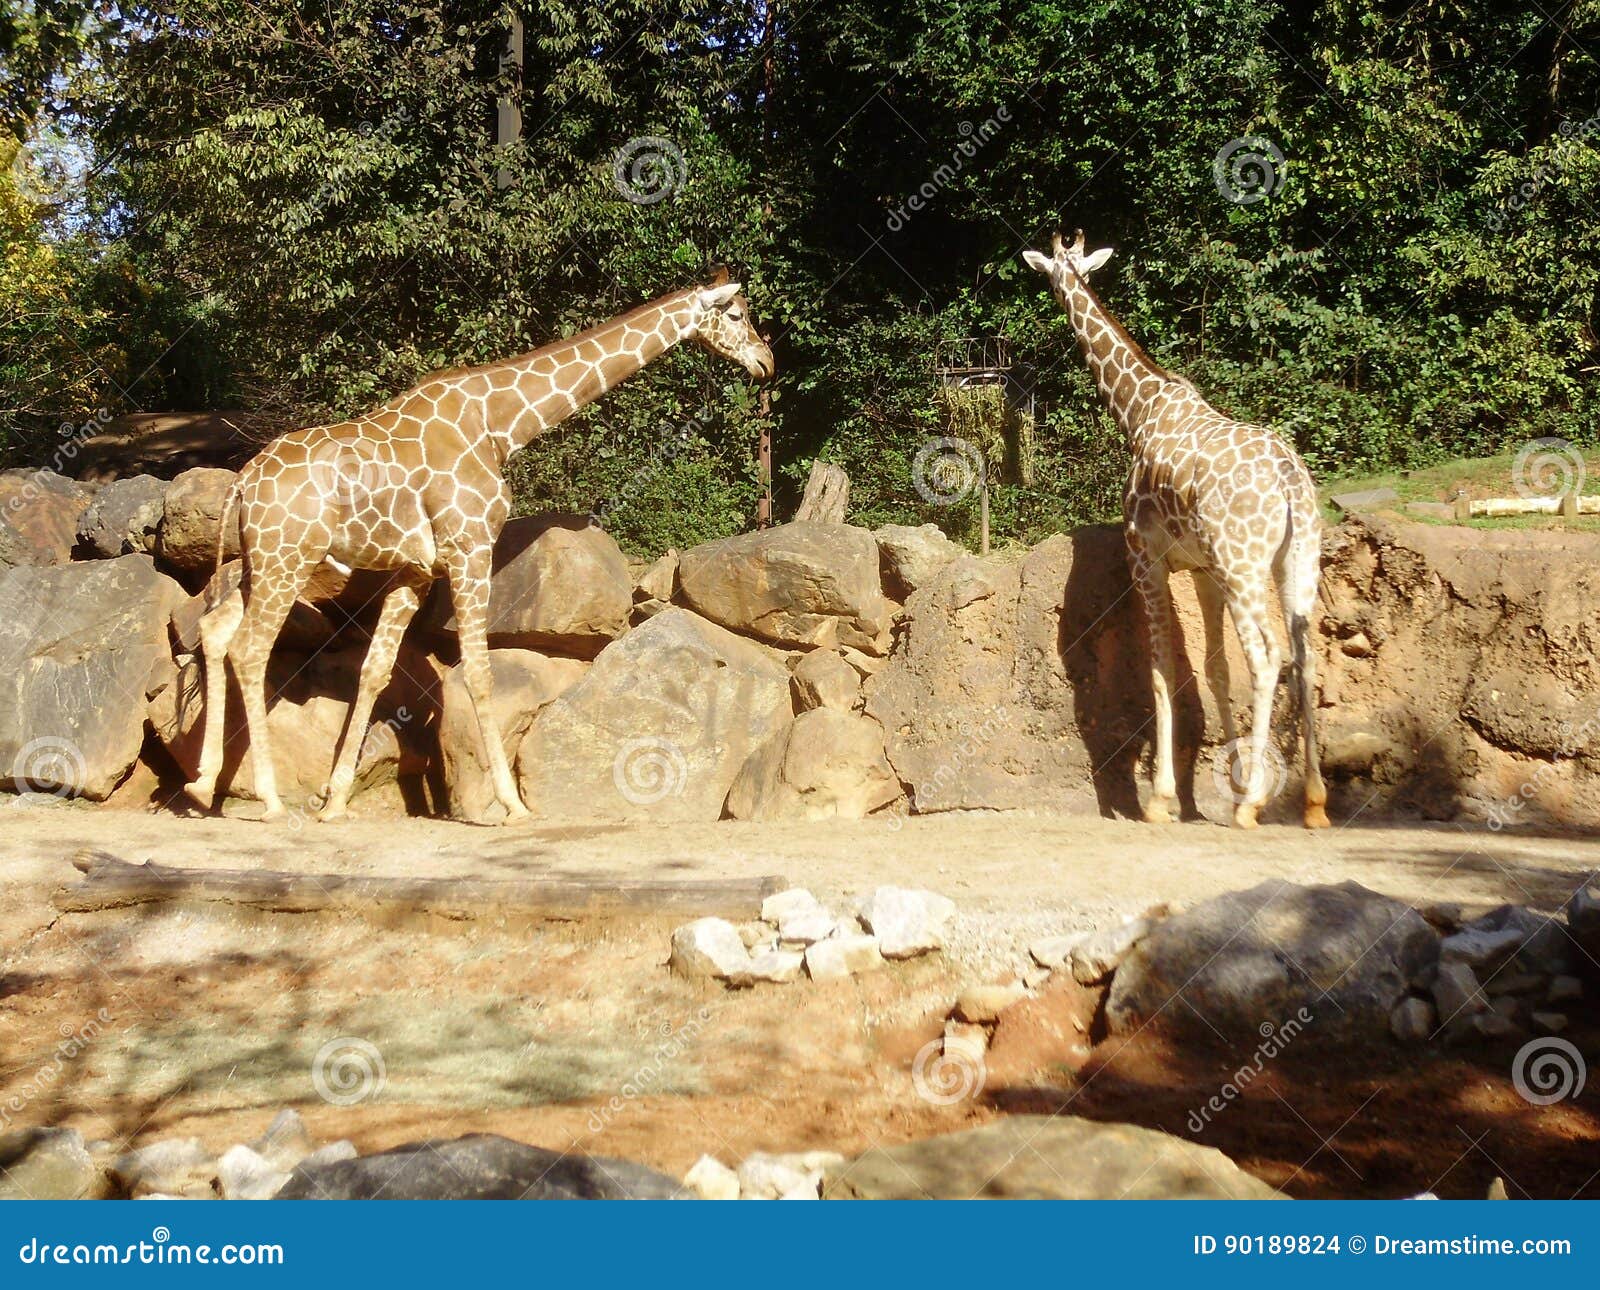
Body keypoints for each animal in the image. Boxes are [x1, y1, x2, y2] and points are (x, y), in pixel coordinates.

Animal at [185, 269, 774, 823]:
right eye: (738, 314)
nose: (766, 363)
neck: (499, 424)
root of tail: (243, 481)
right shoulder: (470, 547)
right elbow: (478, 672)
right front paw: (511, 804)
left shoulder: (416, 568)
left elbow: (375, 670)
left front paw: (335, 800)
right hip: (288, 560)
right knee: (249, 648)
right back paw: (266, 798)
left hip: (260, 563)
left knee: (214, 631)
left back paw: (201, 783)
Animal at [1023, 231, 1328, 829]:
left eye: (1051, 271)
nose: (1056, 288)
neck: (1138, 411)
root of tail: (1288, 480)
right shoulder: (1203, 570)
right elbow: (1214, 670)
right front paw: (1224, 782)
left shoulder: (1146, 557)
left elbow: (1162, 669)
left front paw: (1163, 799)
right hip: (1296, 562)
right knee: (1305, 656)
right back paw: (1313, 801)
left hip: (1244, 564)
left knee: (1268, 657)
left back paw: (1255, 805)